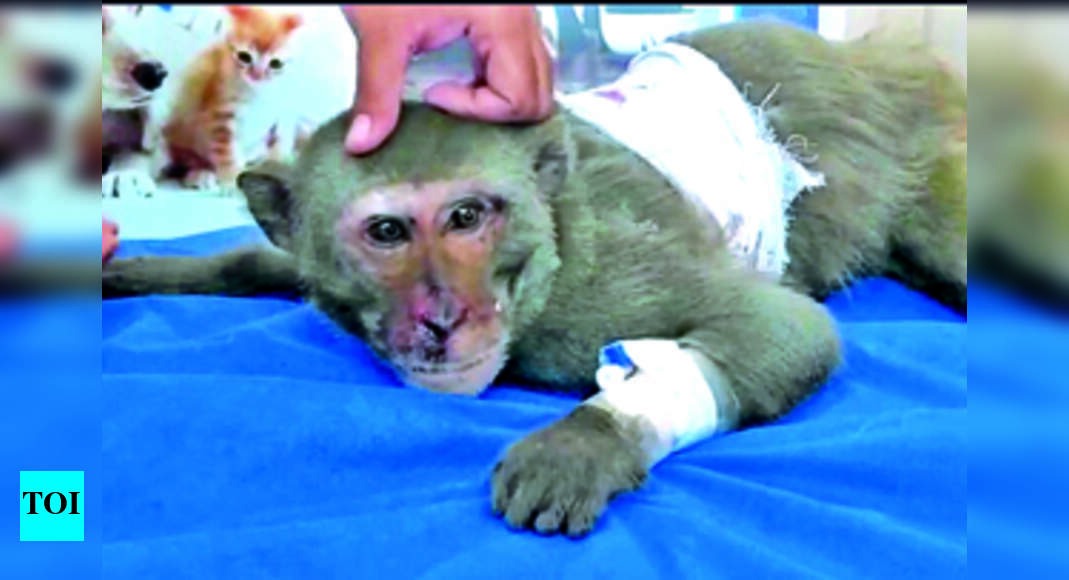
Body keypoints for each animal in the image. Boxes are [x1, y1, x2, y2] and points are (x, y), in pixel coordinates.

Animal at [101, 21, 967, 537]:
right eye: (386, 233)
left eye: (465, 217)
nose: (442, 317)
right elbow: (263, 261)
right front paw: (137, 269)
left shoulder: (602, 287)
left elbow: (785, 330)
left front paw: (588, 439)